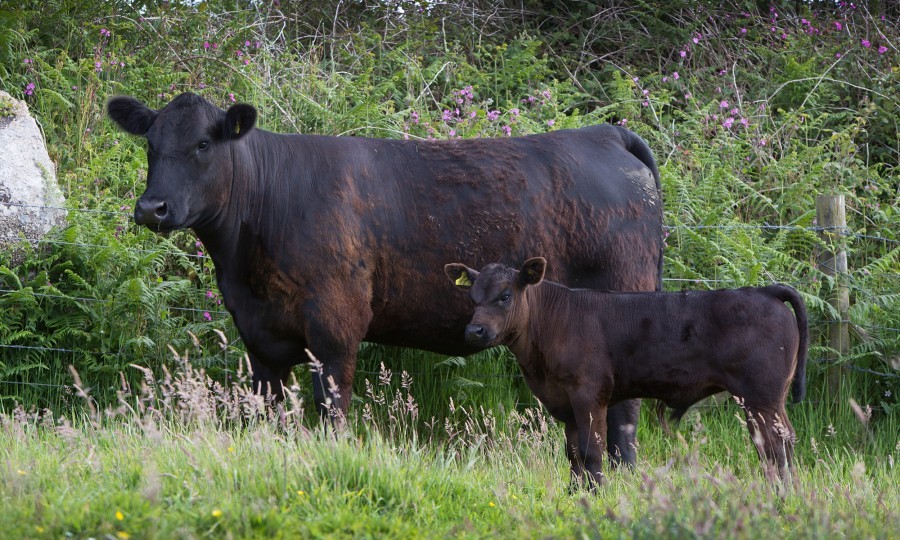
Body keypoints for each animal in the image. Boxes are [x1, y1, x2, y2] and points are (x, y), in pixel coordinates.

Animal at [107, 93, 663, 465]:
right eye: (150, 144)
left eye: (203, 143)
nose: (152, 208)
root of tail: (605, 133)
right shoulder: (259, 336)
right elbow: (264, 411)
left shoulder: (335, 325)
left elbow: (332, 407)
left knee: (625, 413)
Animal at [445, 257, 808, 484]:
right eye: (473, 297)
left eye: (505, 296)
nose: (474, 331)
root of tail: (763, 291)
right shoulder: (566, 401)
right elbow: (573, 454)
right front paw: (574, 494)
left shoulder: (589, 394)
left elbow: (592, 452)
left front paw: (596, 495)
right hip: (764, 399)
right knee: (776, 443)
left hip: (761, 396)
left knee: (776, 444)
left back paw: (781, 493)